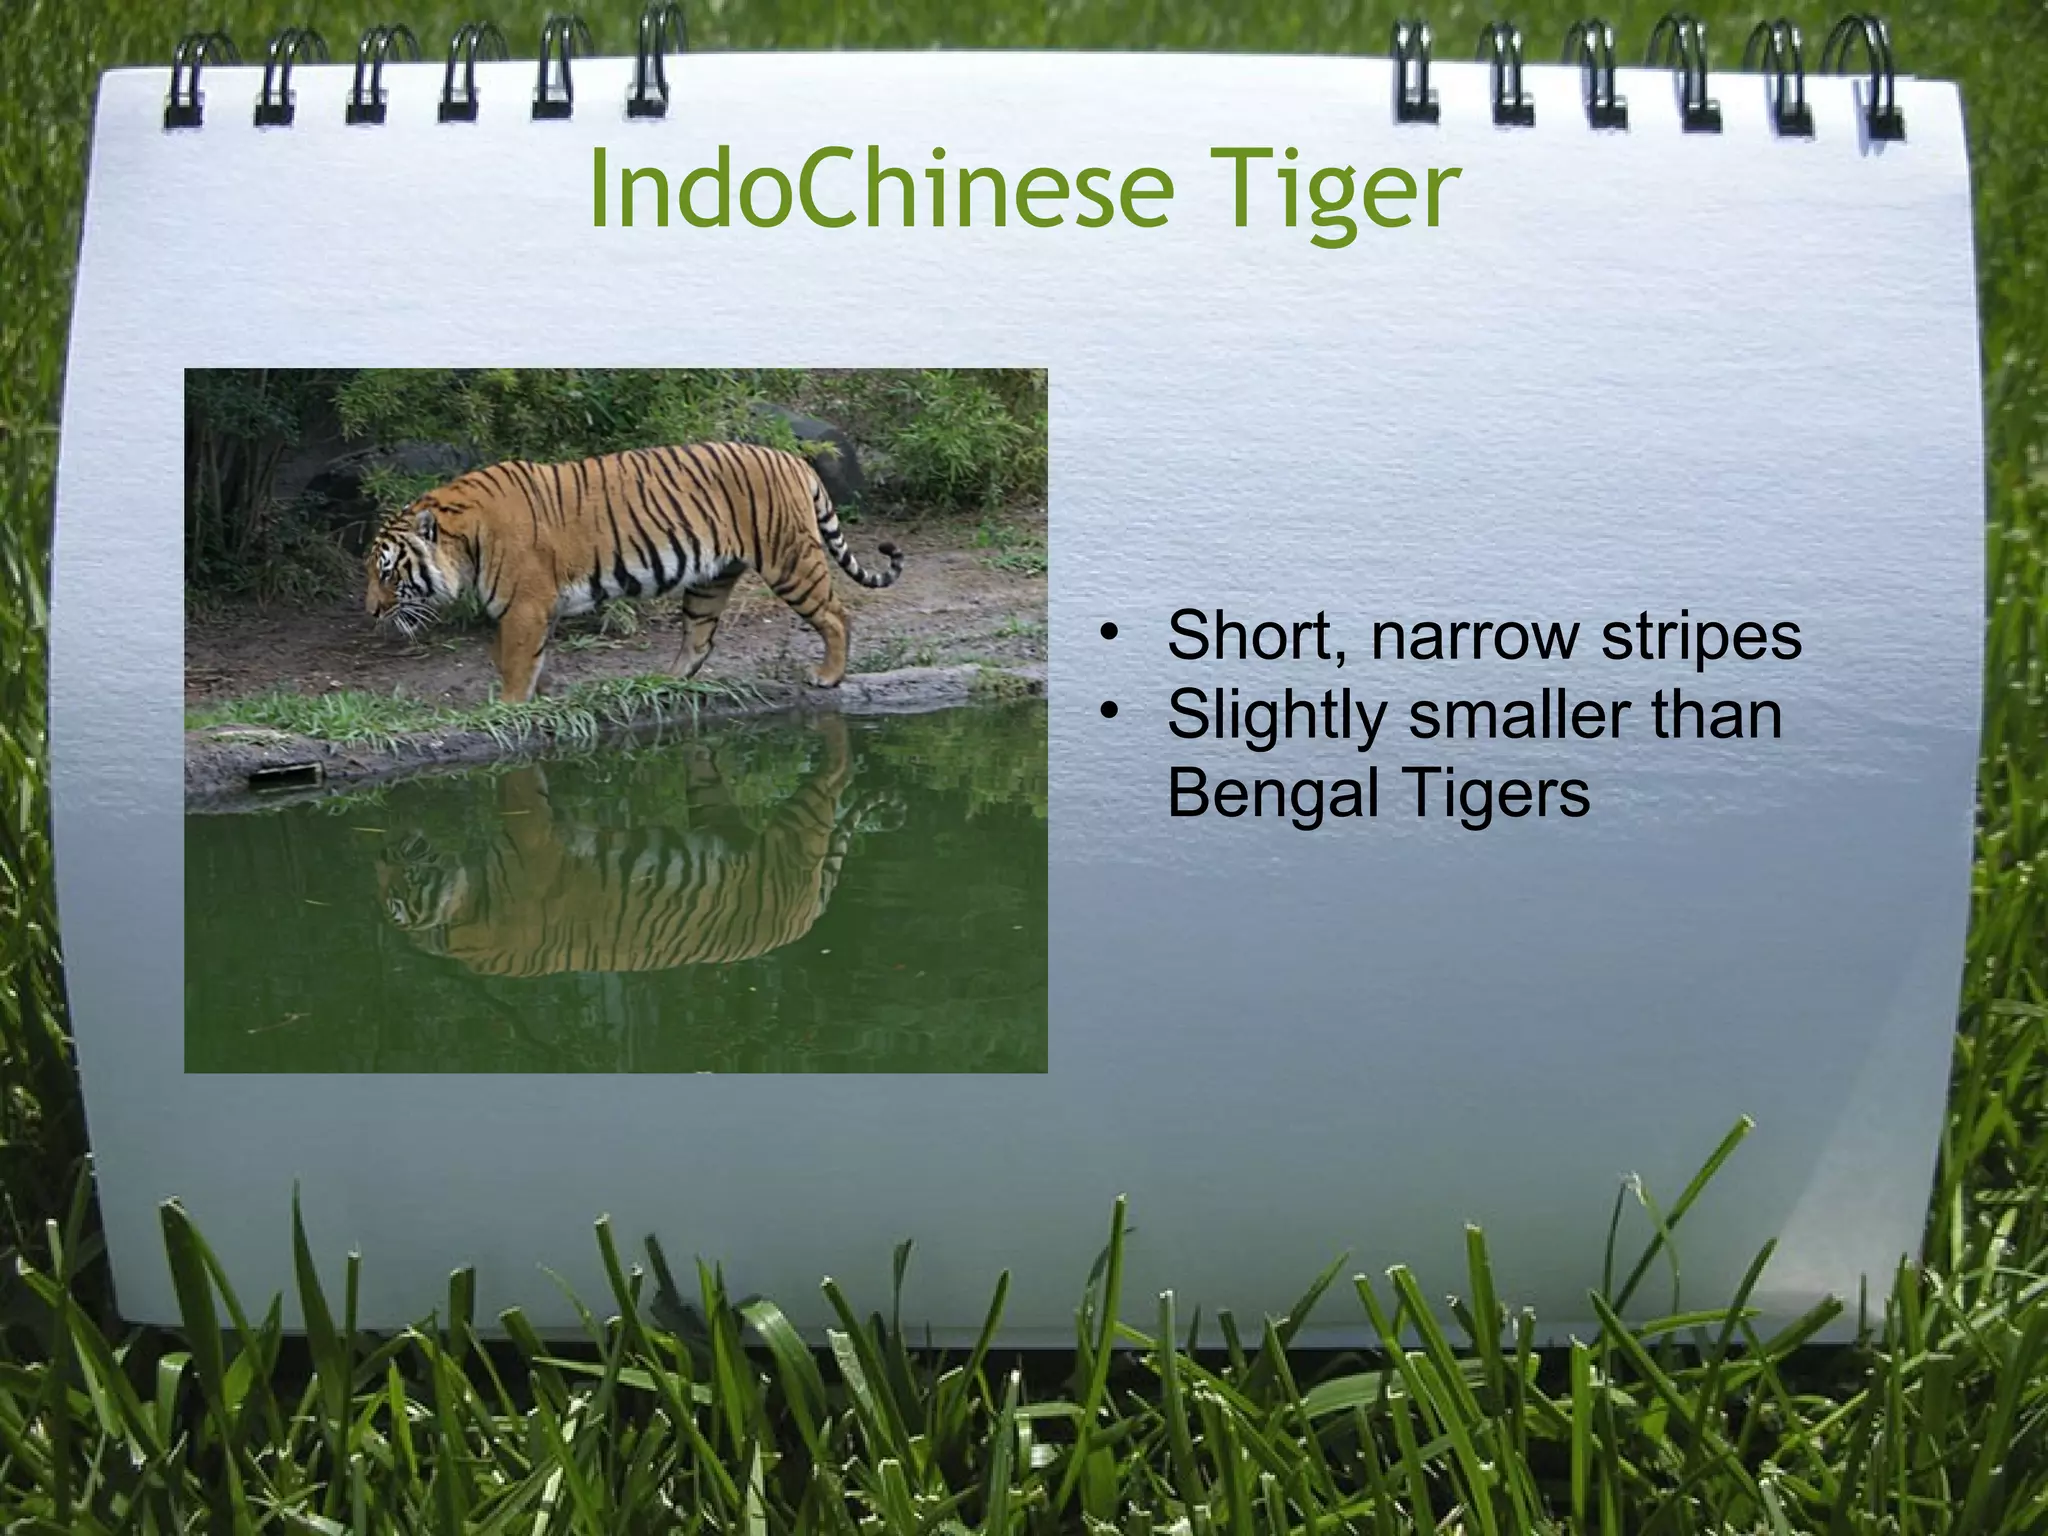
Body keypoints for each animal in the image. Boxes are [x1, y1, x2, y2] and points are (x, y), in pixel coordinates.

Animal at [363, 441, 904, 701]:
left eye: (388, 574)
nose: (370, 612)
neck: (463, 539)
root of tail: (796, 460)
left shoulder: (525, 606)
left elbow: (515, 662)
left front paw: (511, 705)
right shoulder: (539, 609)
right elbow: (528, 659)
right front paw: (544, 696)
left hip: (789, 560)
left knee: (836, 616)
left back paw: (828, 676)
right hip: (709, 581)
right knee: (700, 640)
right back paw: (666, 684)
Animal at [376, 717, 898, 977]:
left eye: (400, 895)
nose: (386, 853)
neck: (466, 903)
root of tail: (804, 920)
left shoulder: (532, 846)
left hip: (793, 835)